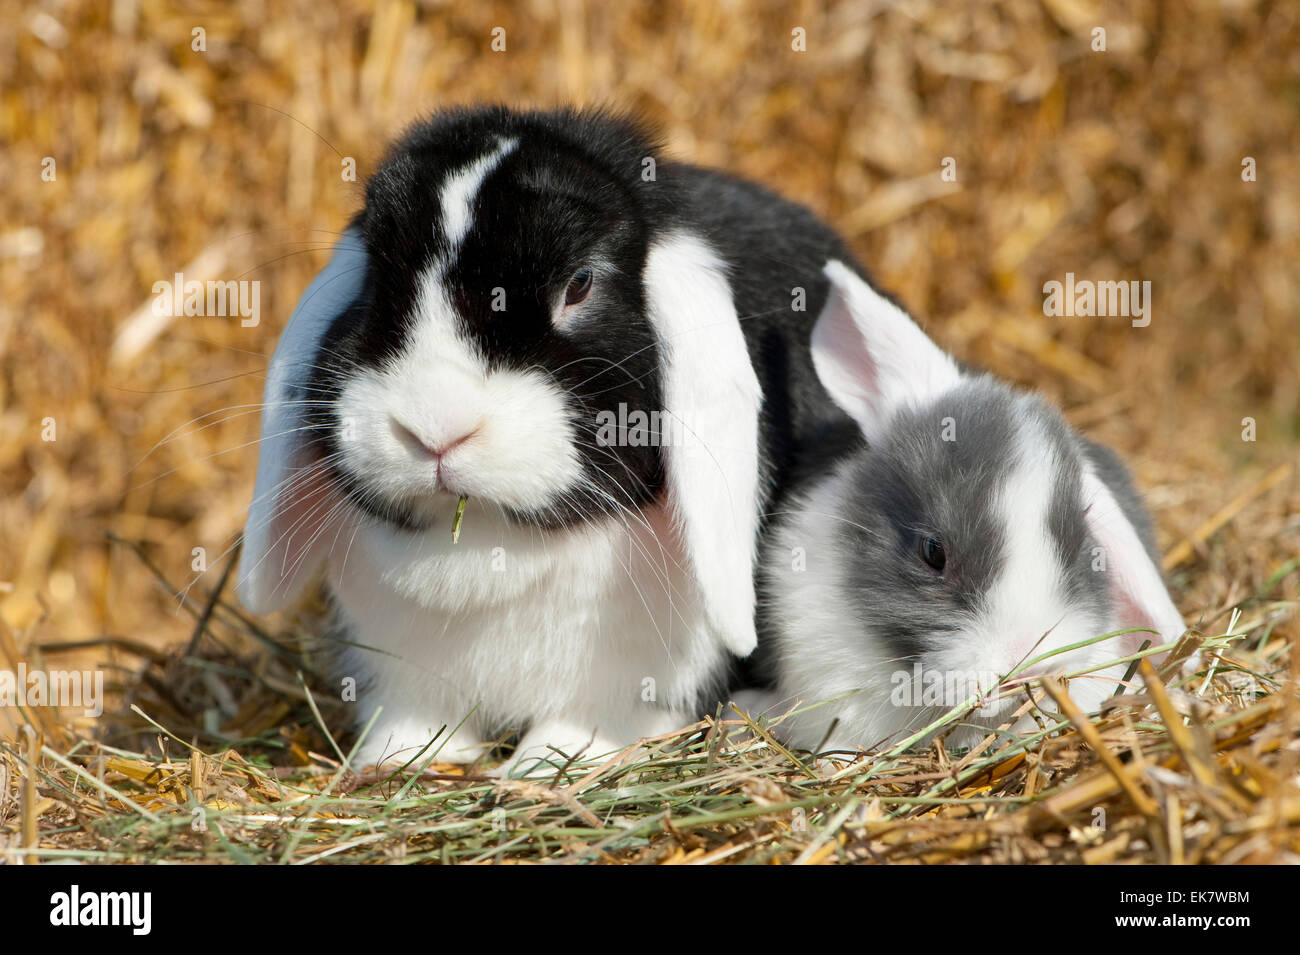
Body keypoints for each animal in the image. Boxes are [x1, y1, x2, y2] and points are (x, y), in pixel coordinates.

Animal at [237, 106, 867, 773]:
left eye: (581, 283)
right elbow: (414, 722)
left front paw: (545, 763)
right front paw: (402, 760)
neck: (485, 545)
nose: (436, 426)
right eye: (377, 281)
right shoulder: (403, 673)